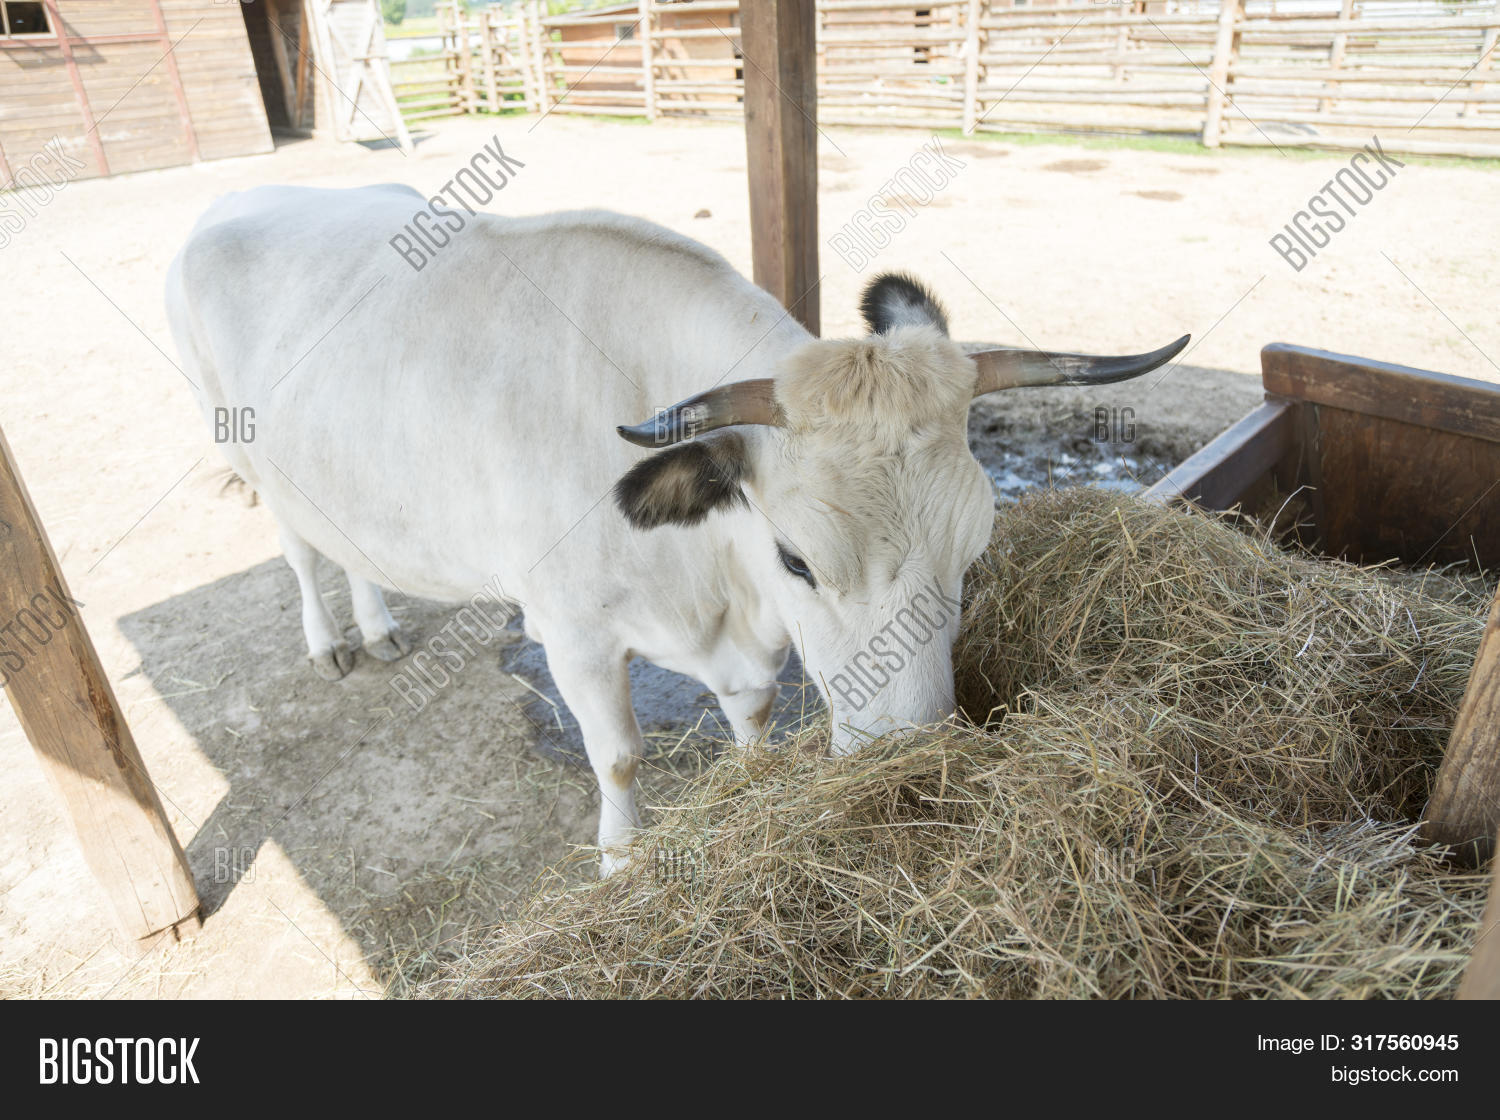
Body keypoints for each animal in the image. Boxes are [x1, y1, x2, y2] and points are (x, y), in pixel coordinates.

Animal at [166, 184, 1186, 875]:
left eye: (973, 552)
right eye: (796, 560)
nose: (912, 773)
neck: (716, 581)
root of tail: (238, 199)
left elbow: (756, 712)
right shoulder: (573, 636)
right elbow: (618, 760)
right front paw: (620, 861)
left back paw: (378, 625)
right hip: (248, 455)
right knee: (300, 551)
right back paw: (332, 641)